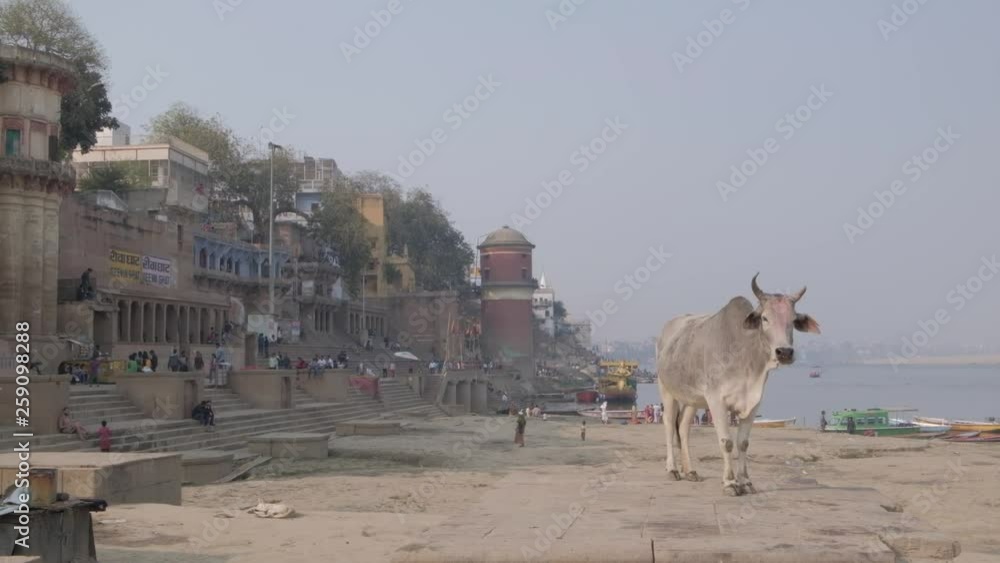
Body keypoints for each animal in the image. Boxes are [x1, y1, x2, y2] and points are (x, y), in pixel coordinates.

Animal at [655, 274, 820, 496]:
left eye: (793, 320)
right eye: (765, 318)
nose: (784, 352)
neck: (745, 357)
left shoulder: (753, 402)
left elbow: (743, 443)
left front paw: (746, 482)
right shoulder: (716, 400)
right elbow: (726, 442)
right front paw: (730, 482)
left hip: (692, 398)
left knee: (682, 427)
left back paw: (690, 471)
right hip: (666, 389)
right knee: (668, 424)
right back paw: (672, 469)